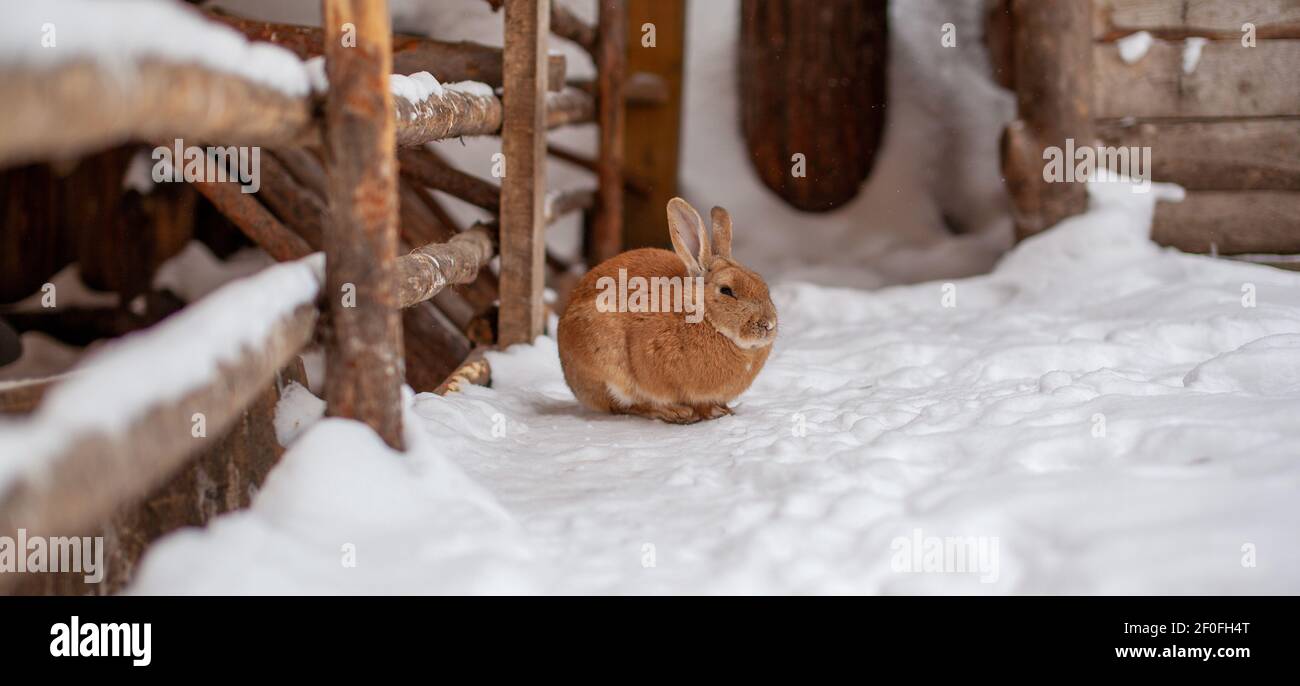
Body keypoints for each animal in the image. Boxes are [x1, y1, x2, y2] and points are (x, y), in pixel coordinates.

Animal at [557, 197, 777, 424]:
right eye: (726, 291)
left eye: (762, 284)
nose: (768, 324)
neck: (703, 316)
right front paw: (711, 412)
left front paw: (725, 410)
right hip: (607, 367)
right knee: (626, 405)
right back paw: (675, 413)